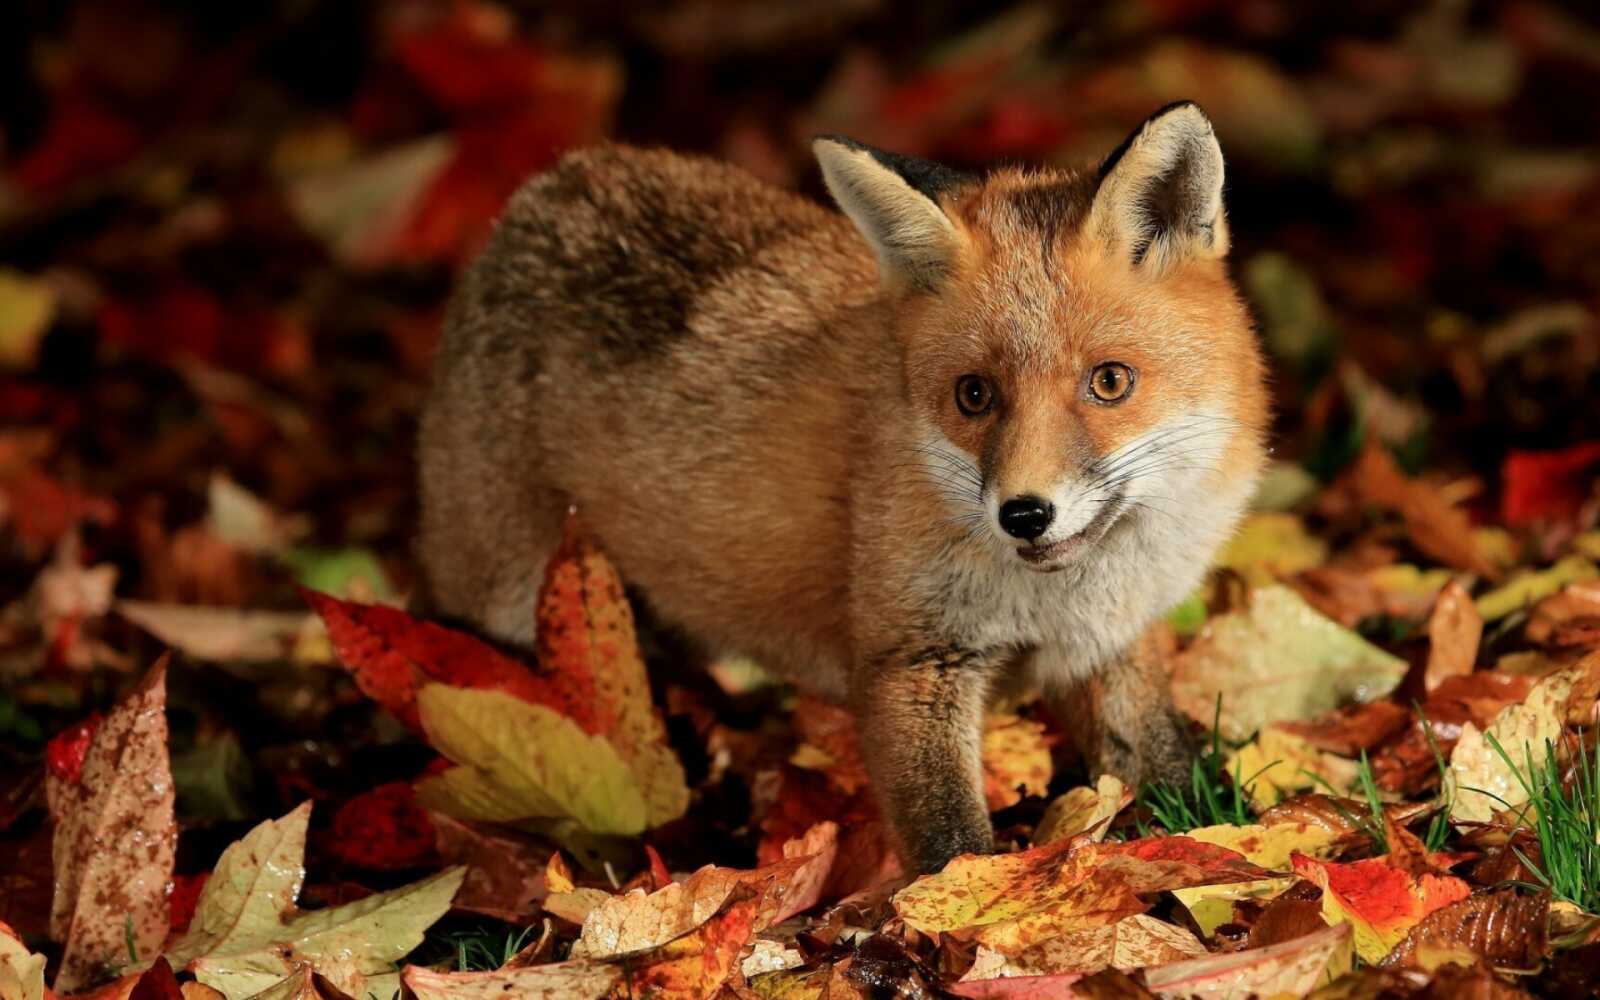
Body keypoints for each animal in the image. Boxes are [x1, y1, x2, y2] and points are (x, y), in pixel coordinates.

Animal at [416, 101, 1270, 874]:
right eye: (973, 396)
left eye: (1110, 382)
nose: (1024, 514)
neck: (1057, 598)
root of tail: (549, 185)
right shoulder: (910, 661)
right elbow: (949, 844)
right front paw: (956, 921)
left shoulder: (1112, 644)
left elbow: (1166, 768)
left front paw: (1217, 843)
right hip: (504, 605)